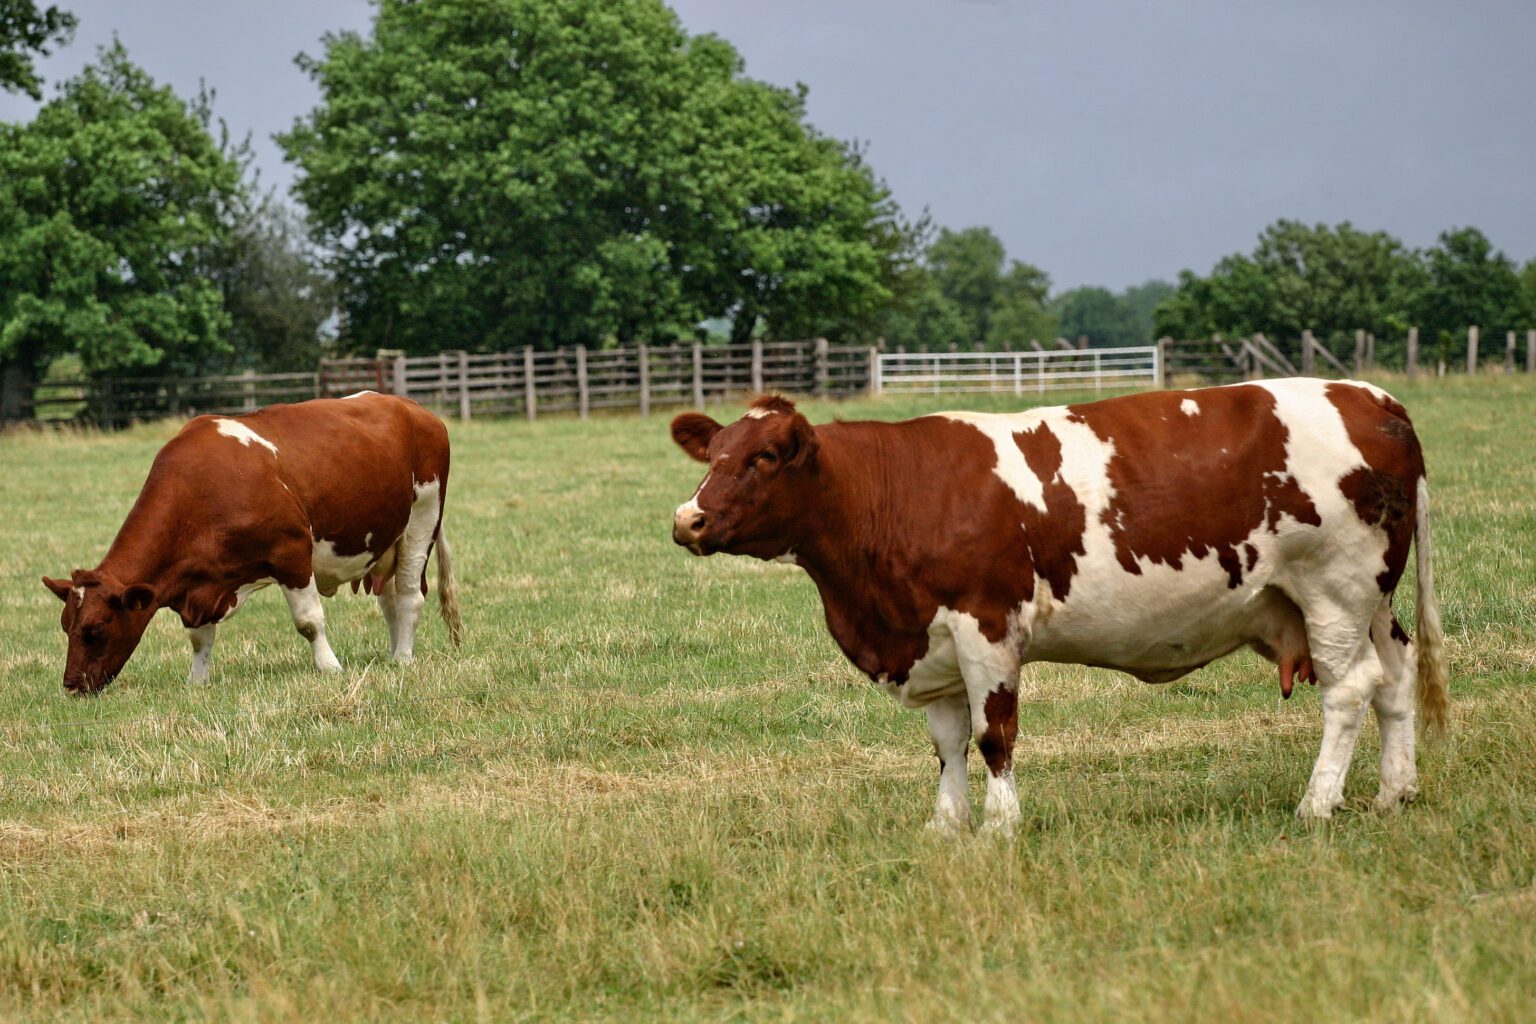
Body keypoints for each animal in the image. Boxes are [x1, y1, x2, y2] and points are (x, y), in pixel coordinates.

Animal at [42, 391, 462, 694]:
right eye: (65, 626)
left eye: (96, 629)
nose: (71, 685)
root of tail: (414, 409)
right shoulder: (201, 585)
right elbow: (199, 638)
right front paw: (198, 681)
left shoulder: (292, 553)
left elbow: (309, 621)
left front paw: (329, 667)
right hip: (385, 542)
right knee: (388, 599)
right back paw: (393, 652)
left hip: (422, 519)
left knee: (409, 595)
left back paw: (403, 657)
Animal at [670, 380, 1449, 834]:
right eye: (713, 453)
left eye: (765, 457)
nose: (688, 520)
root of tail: (1375, 397)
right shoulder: (928, 641)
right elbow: (948, 745)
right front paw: (945, 827)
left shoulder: (986, 624)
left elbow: (994, 736)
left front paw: (999, 827)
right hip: (1368, 597)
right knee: (1396, 675)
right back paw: (1395, 791)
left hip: (1334, 586)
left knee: (1350, 689)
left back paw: (1317, 803)